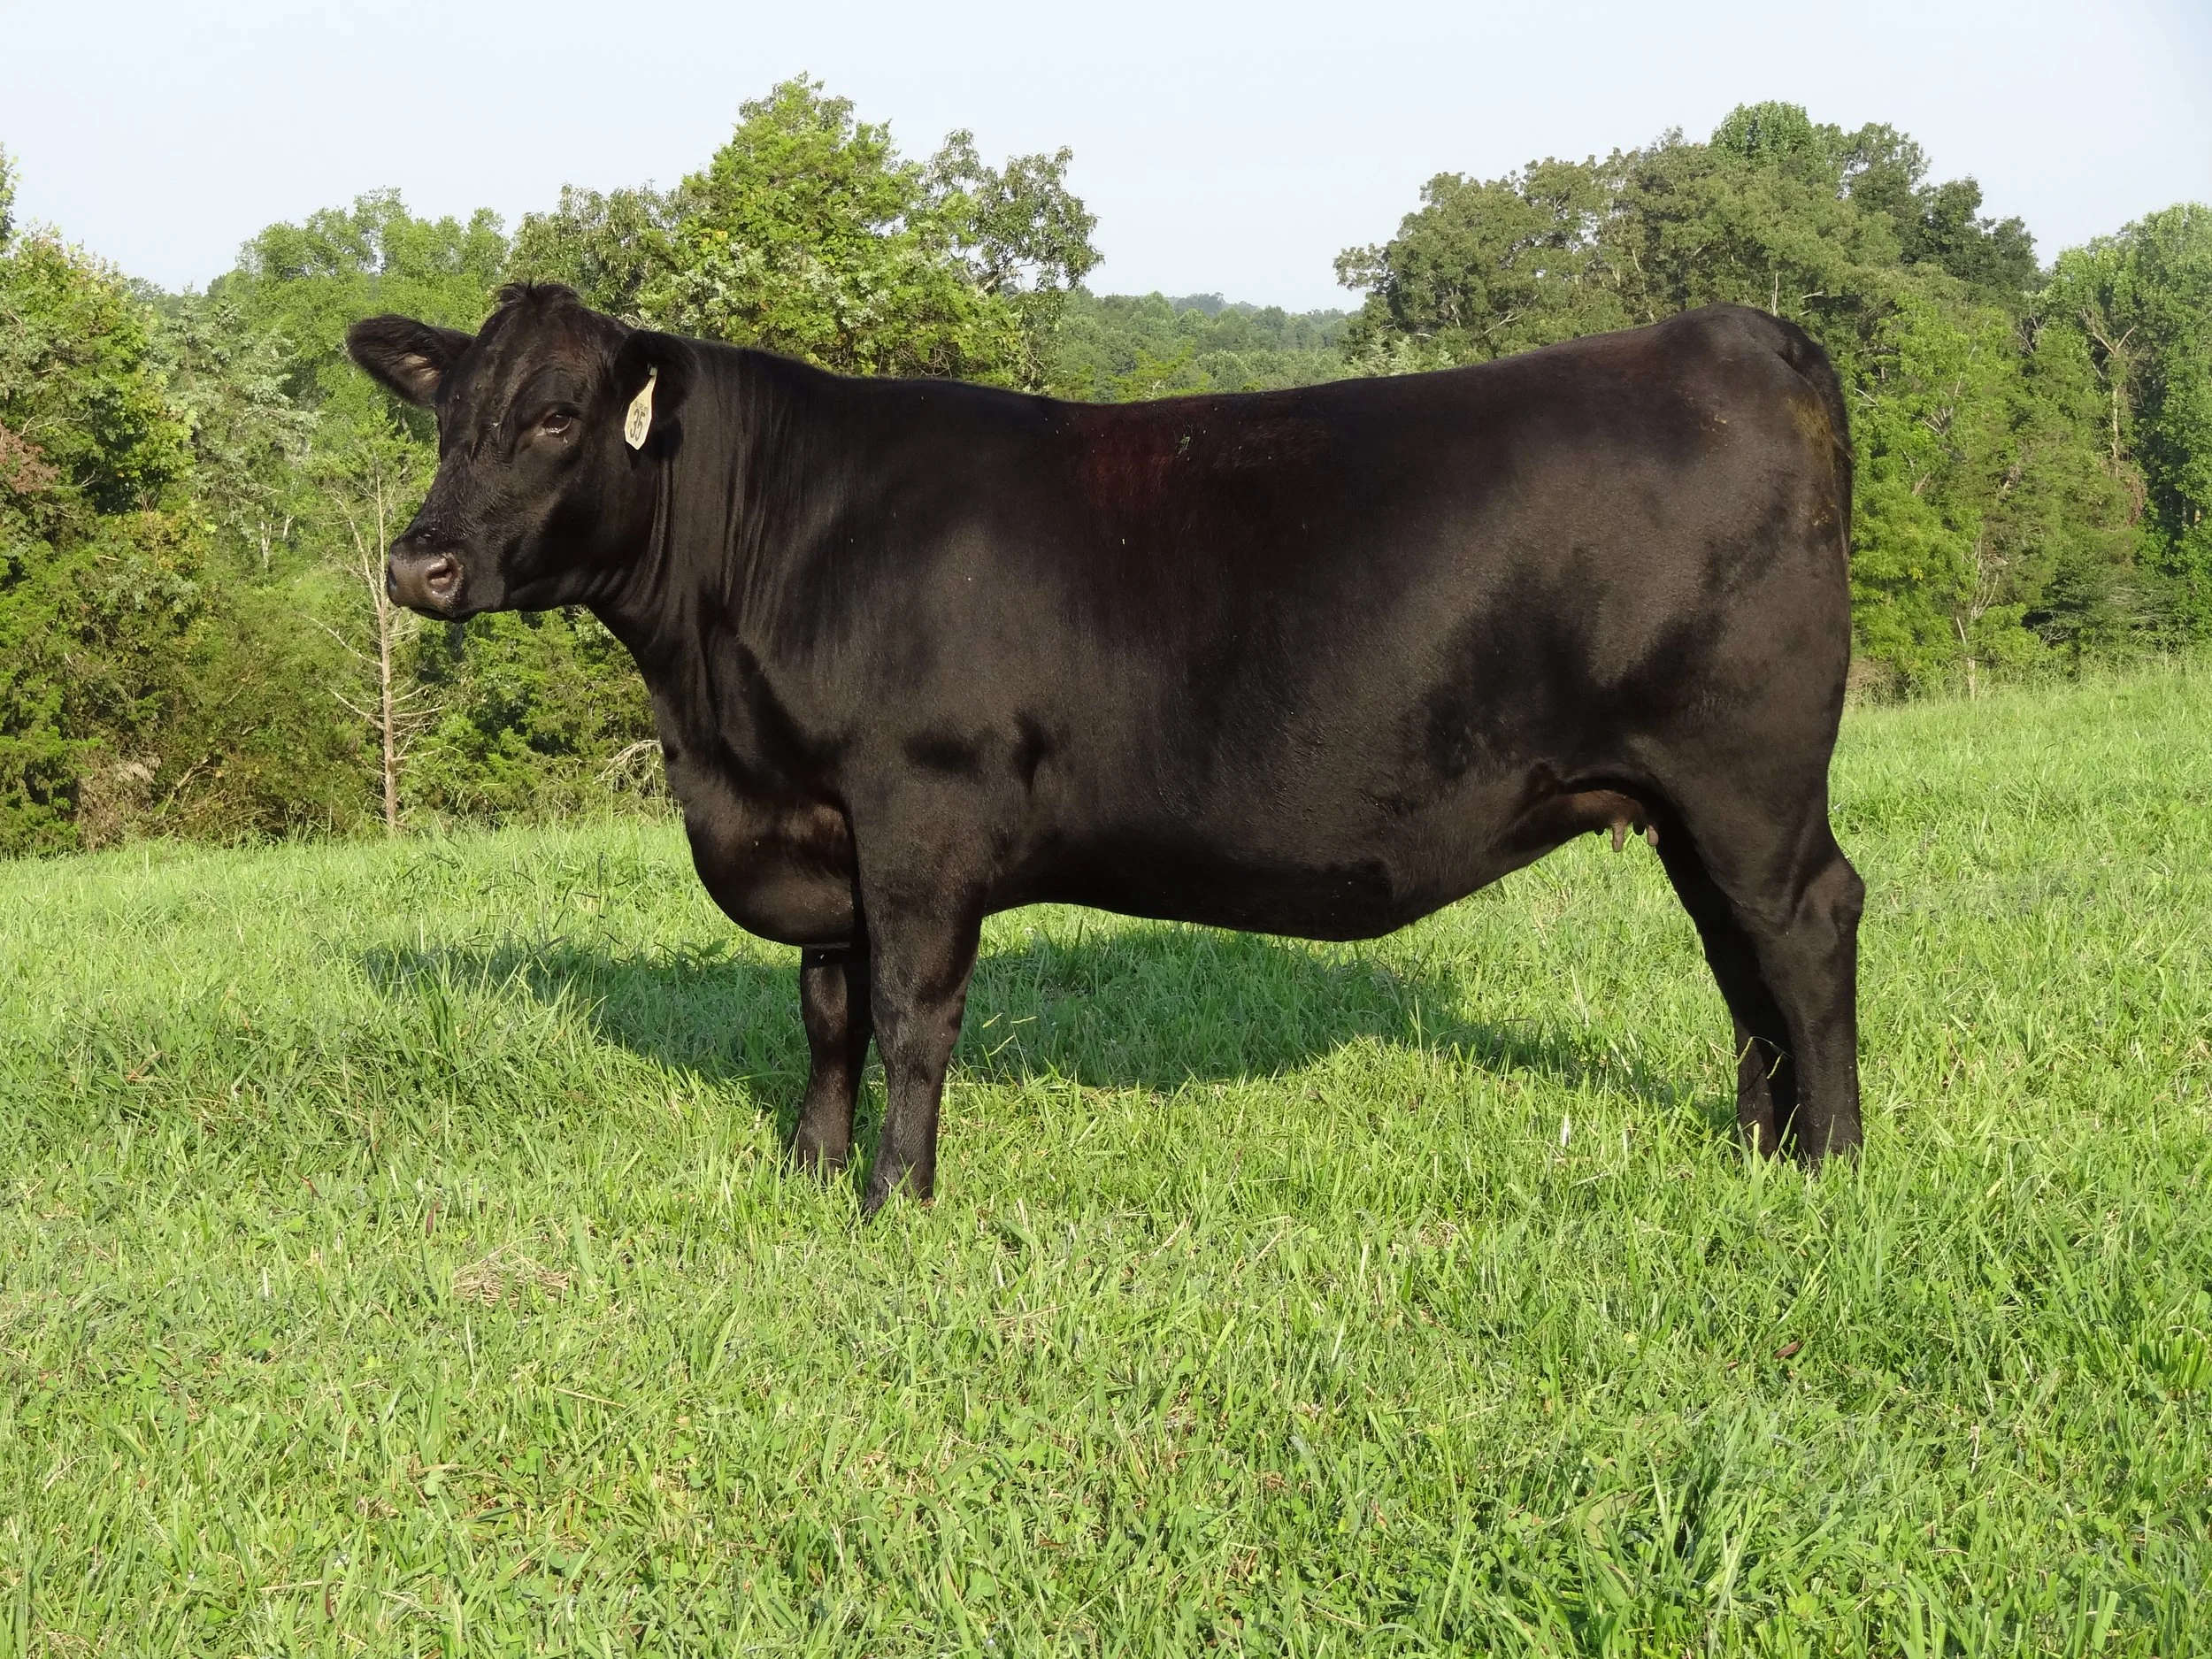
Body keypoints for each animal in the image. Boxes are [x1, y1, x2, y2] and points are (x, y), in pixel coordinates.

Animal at [346, 284, 1865, 1214]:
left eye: (558, 416)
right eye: (447, 415)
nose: (419, 563)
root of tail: (1738, 337)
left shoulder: (919, 808)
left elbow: (911, 1013)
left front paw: (895, 1196)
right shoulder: (817, 821)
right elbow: (827, 1011)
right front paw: (810, 1171)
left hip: (1750, 775)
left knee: (1803, 927)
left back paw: (1834, 1162)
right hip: (1684, 799)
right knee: (1739, 957)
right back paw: (1760, 1148)